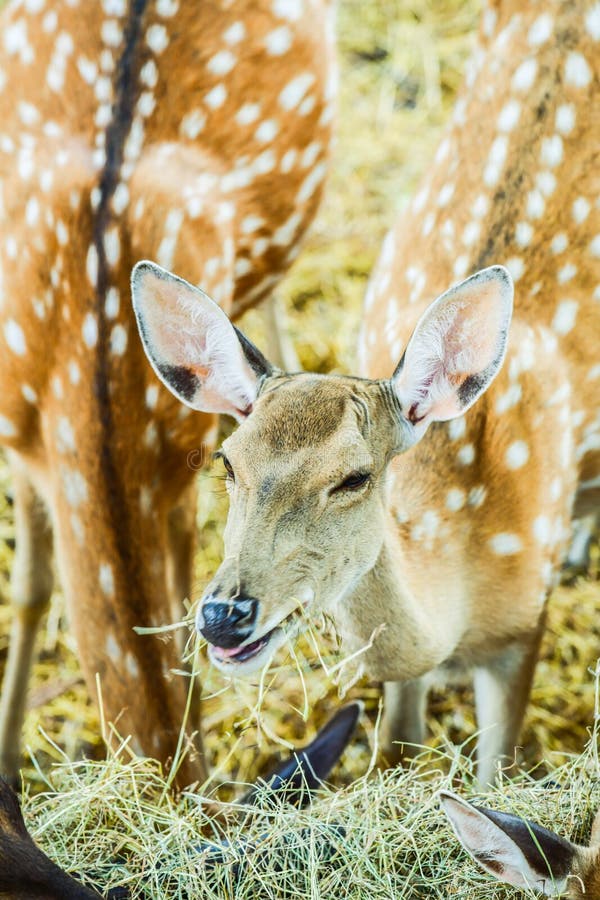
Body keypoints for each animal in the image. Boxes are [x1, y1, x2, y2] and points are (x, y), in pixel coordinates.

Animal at [131, 0, 600, 788]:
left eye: (353, 478)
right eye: (227, 462)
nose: (223, 614)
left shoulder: (524, 629)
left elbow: (496, 775)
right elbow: (399, 748)